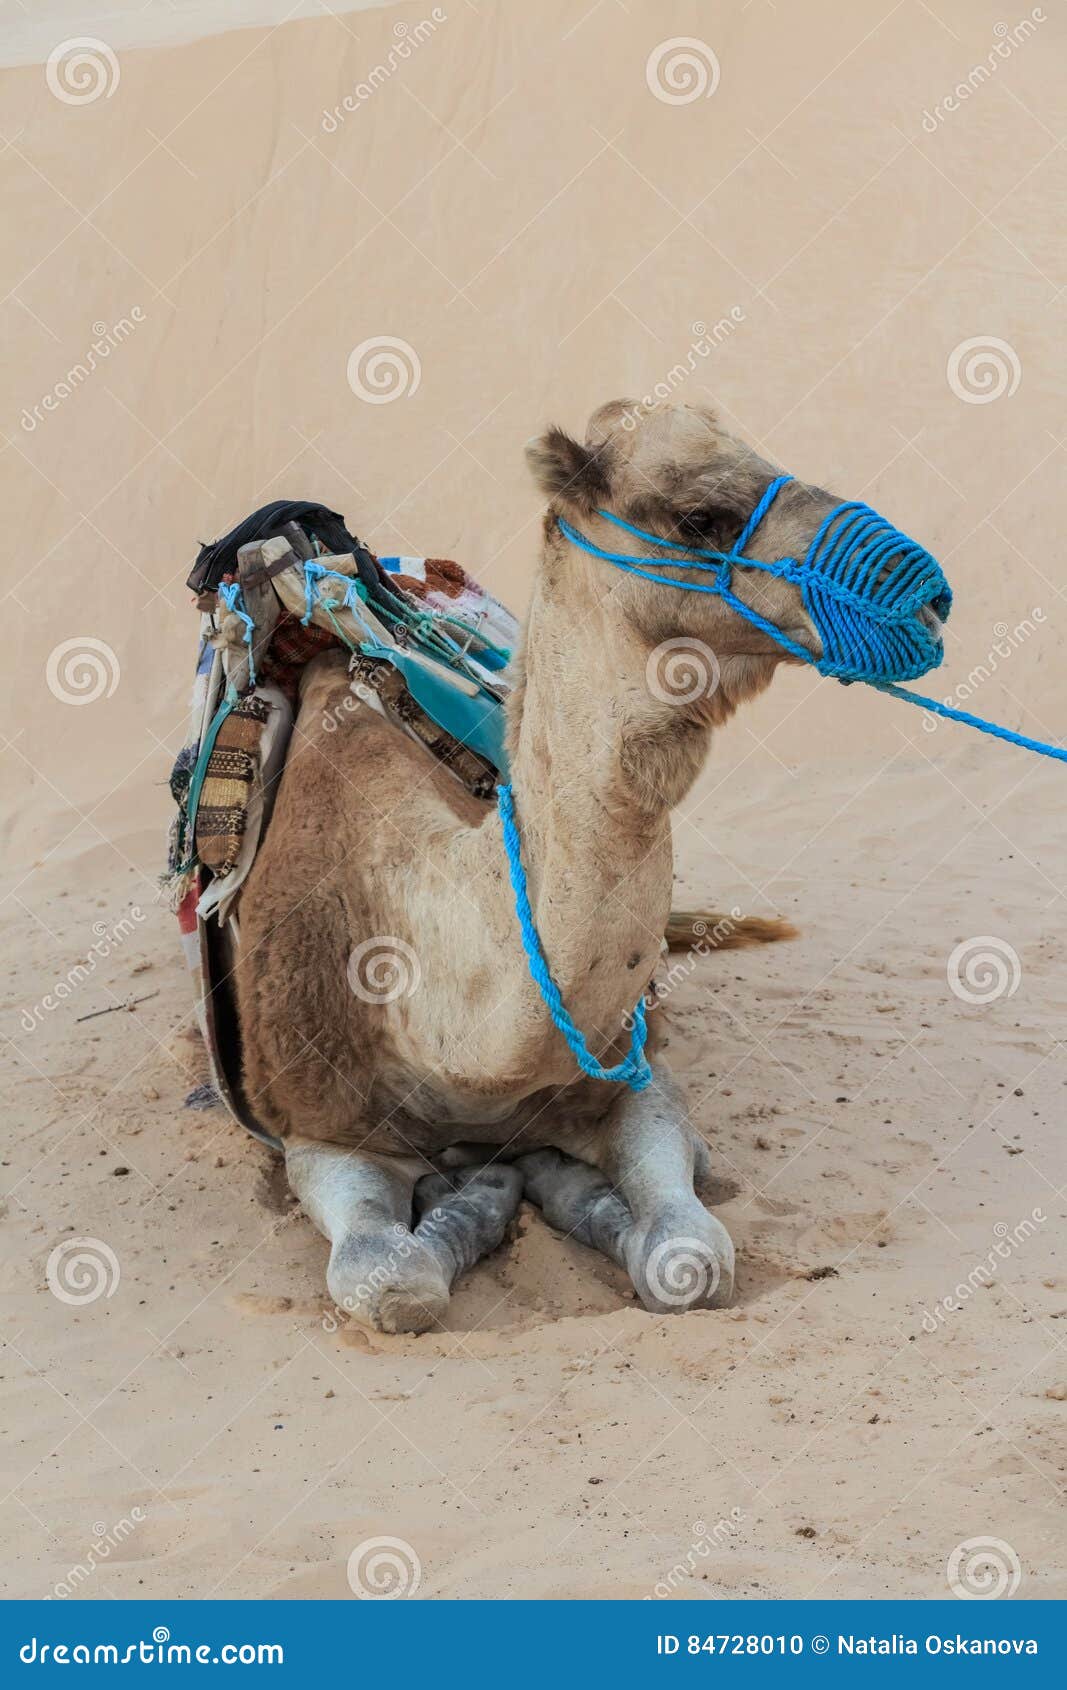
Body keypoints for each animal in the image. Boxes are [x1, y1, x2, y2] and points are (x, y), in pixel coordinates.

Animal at [233, 399, 834, 1334]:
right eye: (701, 516)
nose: (925, 596)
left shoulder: (631, 1076)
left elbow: (691, 1259)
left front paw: (556, 1179)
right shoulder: (320, 1126)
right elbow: (389, 1283)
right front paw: (482, 1194)